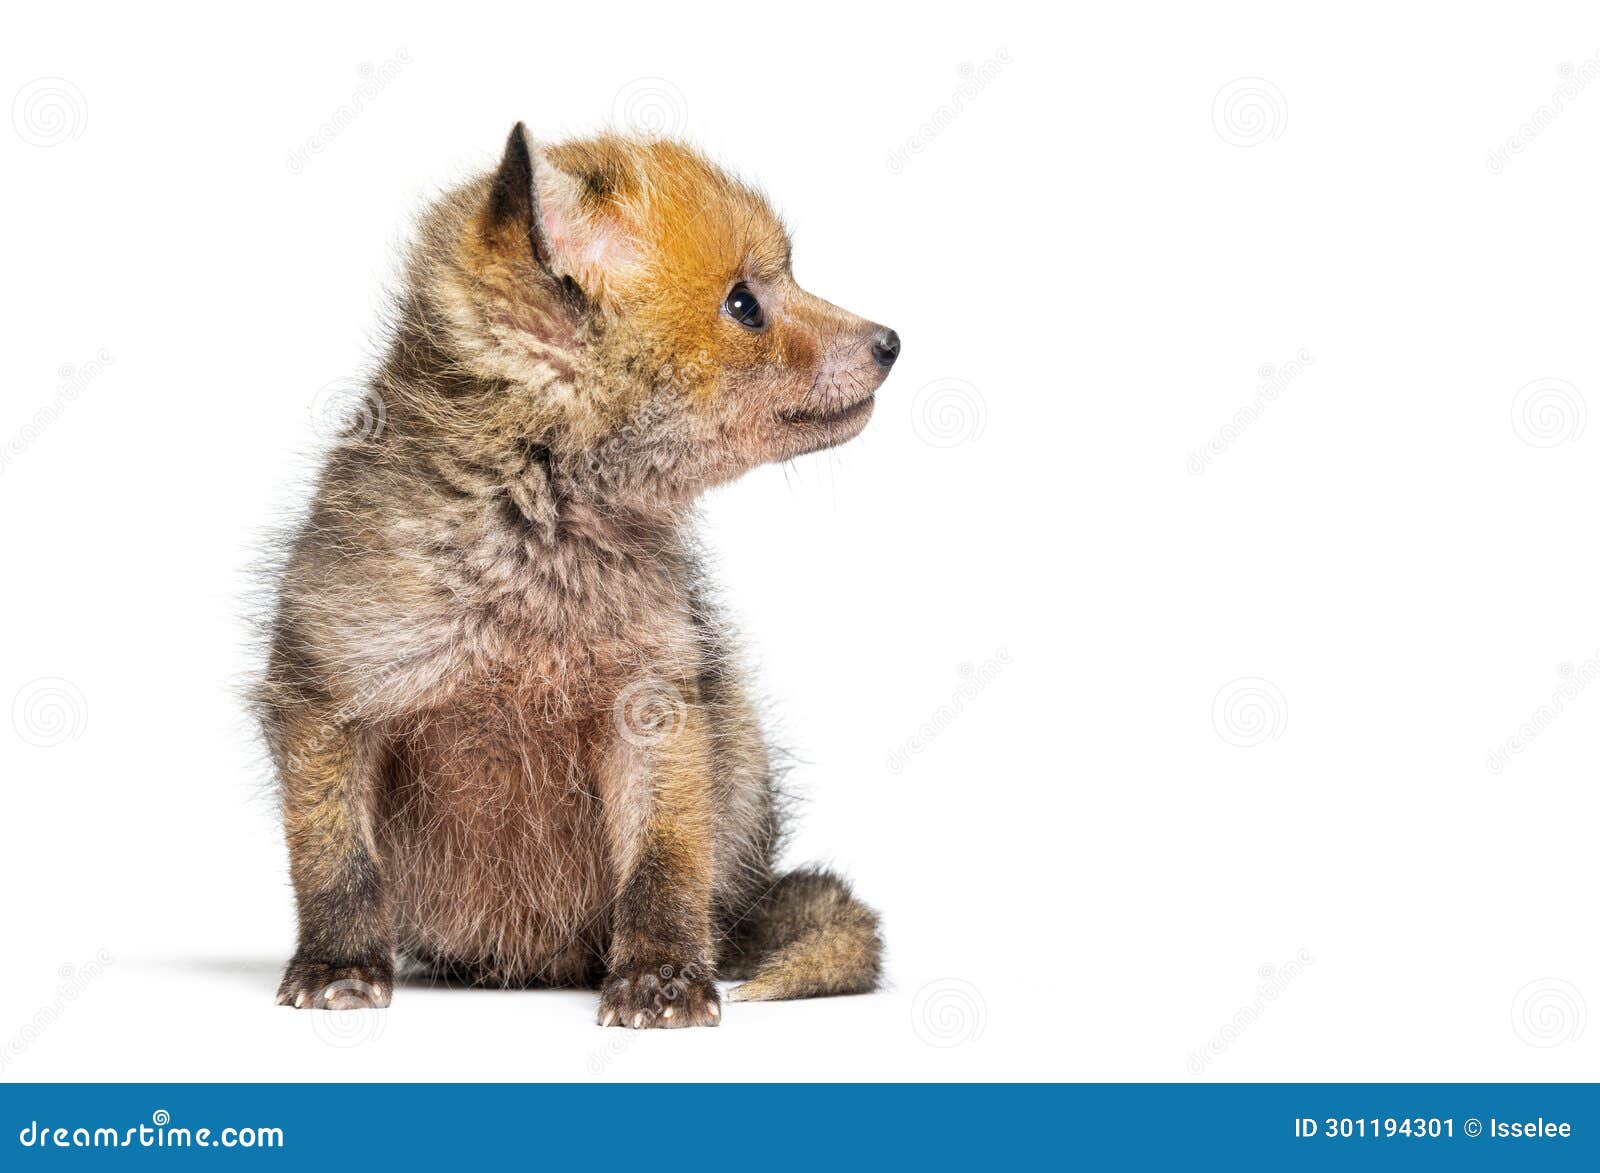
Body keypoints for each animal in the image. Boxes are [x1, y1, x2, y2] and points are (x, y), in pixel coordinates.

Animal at [259, 122, 899, 1028]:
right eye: (744, 303)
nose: (891, 342)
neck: (535, 563)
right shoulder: (324, 690)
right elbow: (335, 863)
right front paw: (337, 963)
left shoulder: (655, 702)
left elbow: (664, 869)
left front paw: (662, 975)